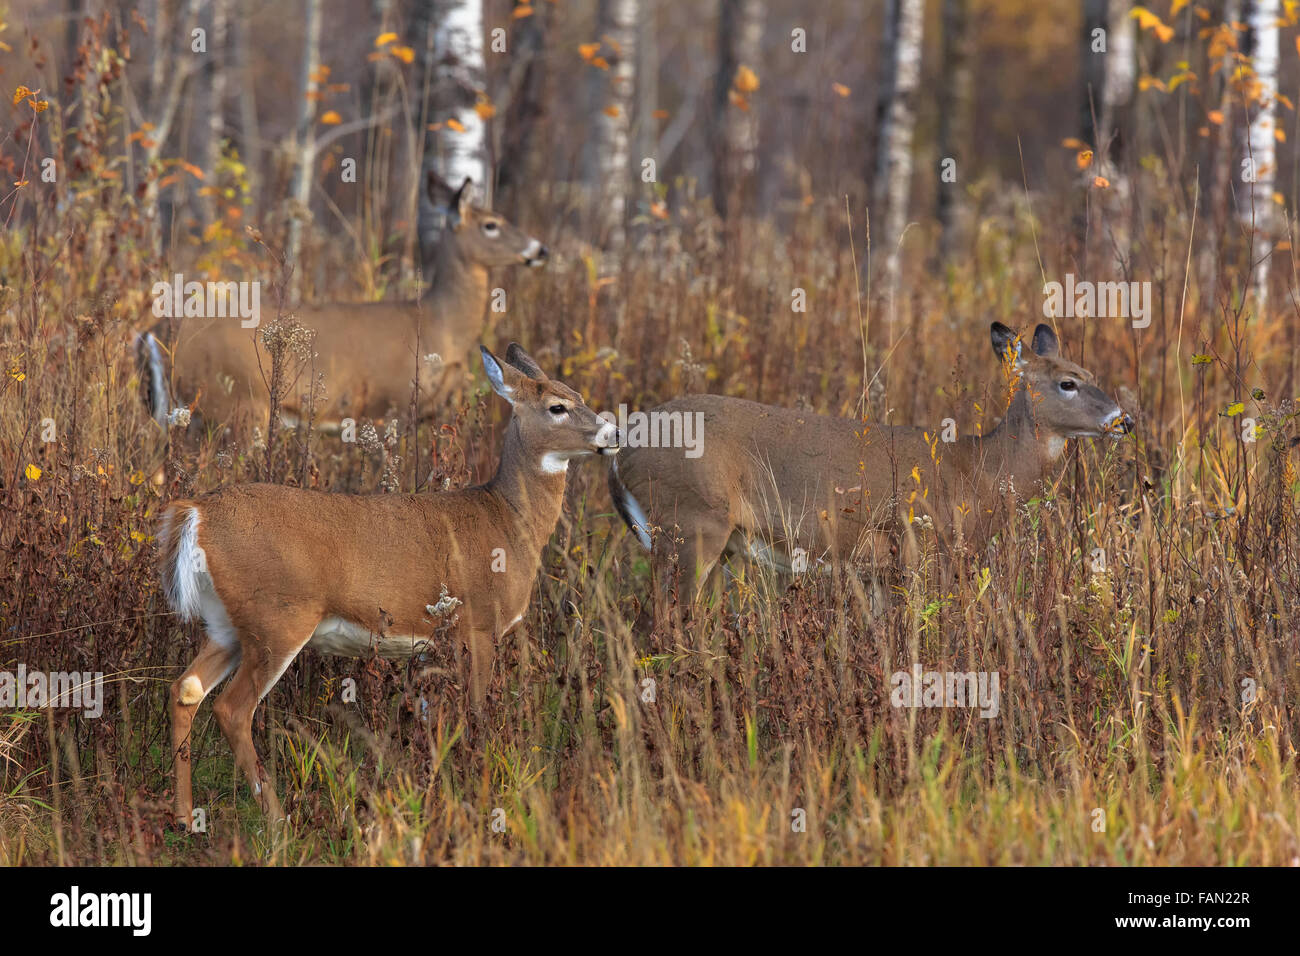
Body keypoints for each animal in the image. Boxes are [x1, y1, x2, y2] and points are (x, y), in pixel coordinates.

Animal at [137, 172, 548, 434]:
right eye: (491, 224)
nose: (540, 249)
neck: (440, 323)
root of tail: (154, 335)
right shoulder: (393, 403)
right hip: (237, 403)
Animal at [158, 343, 619, 826]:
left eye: (579, 395)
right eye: (557, 407)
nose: (615, 432)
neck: (508, 522)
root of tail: (197, 514)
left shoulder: (434, 645)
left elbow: (433, 722)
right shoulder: (477, 626)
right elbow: (474, 714)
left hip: (227, 623)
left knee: (185, 689)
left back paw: (185, 816)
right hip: (279, 618)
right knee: (232, 708)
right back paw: (276, 818)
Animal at [607, 322, 1133, 613]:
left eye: (1092, 374)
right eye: (1068, 382)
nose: (1123, 420)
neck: (978, 470)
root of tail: (621, 450)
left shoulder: (877, 569)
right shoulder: (923, 550)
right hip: (692, 521)